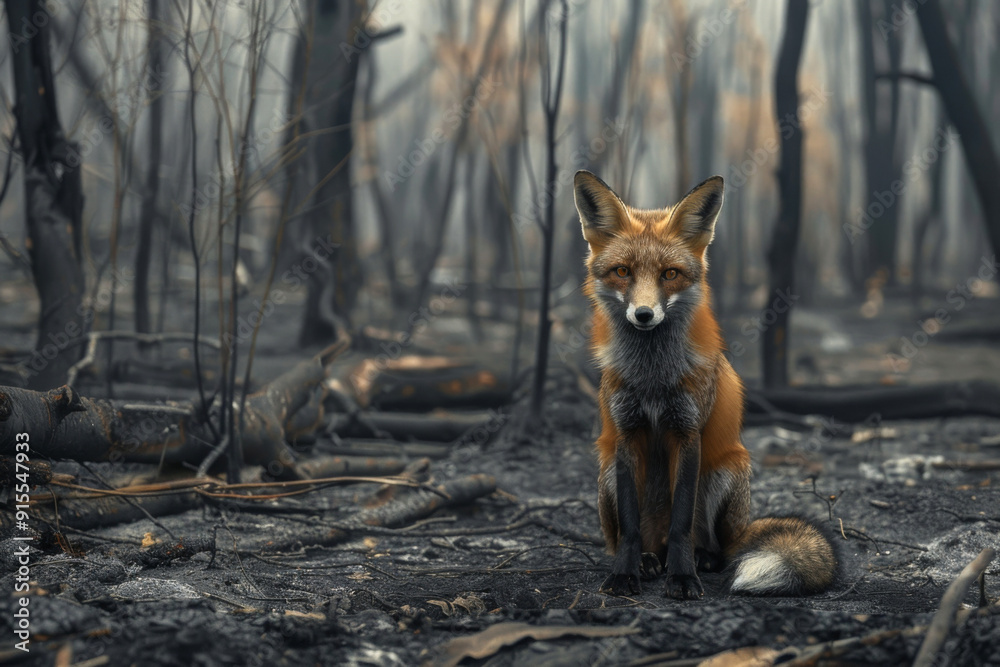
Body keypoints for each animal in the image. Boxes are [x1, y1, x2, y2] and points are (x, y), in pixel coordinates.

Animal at [573, 170, 838, 599]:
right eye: (622, 272)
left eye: (670, 274)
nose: (643, 314)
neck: (653, 379)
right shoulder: (627, 434)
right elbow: (629, 529)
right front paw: (625, 574)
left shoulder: (687, 432)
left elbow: (682, 522)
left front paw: (682, 577)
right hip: (607, 472)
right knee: (642, 537)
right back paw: (650, 561)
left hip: (726, 471)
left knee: (717, 545)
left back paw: (701, 559)